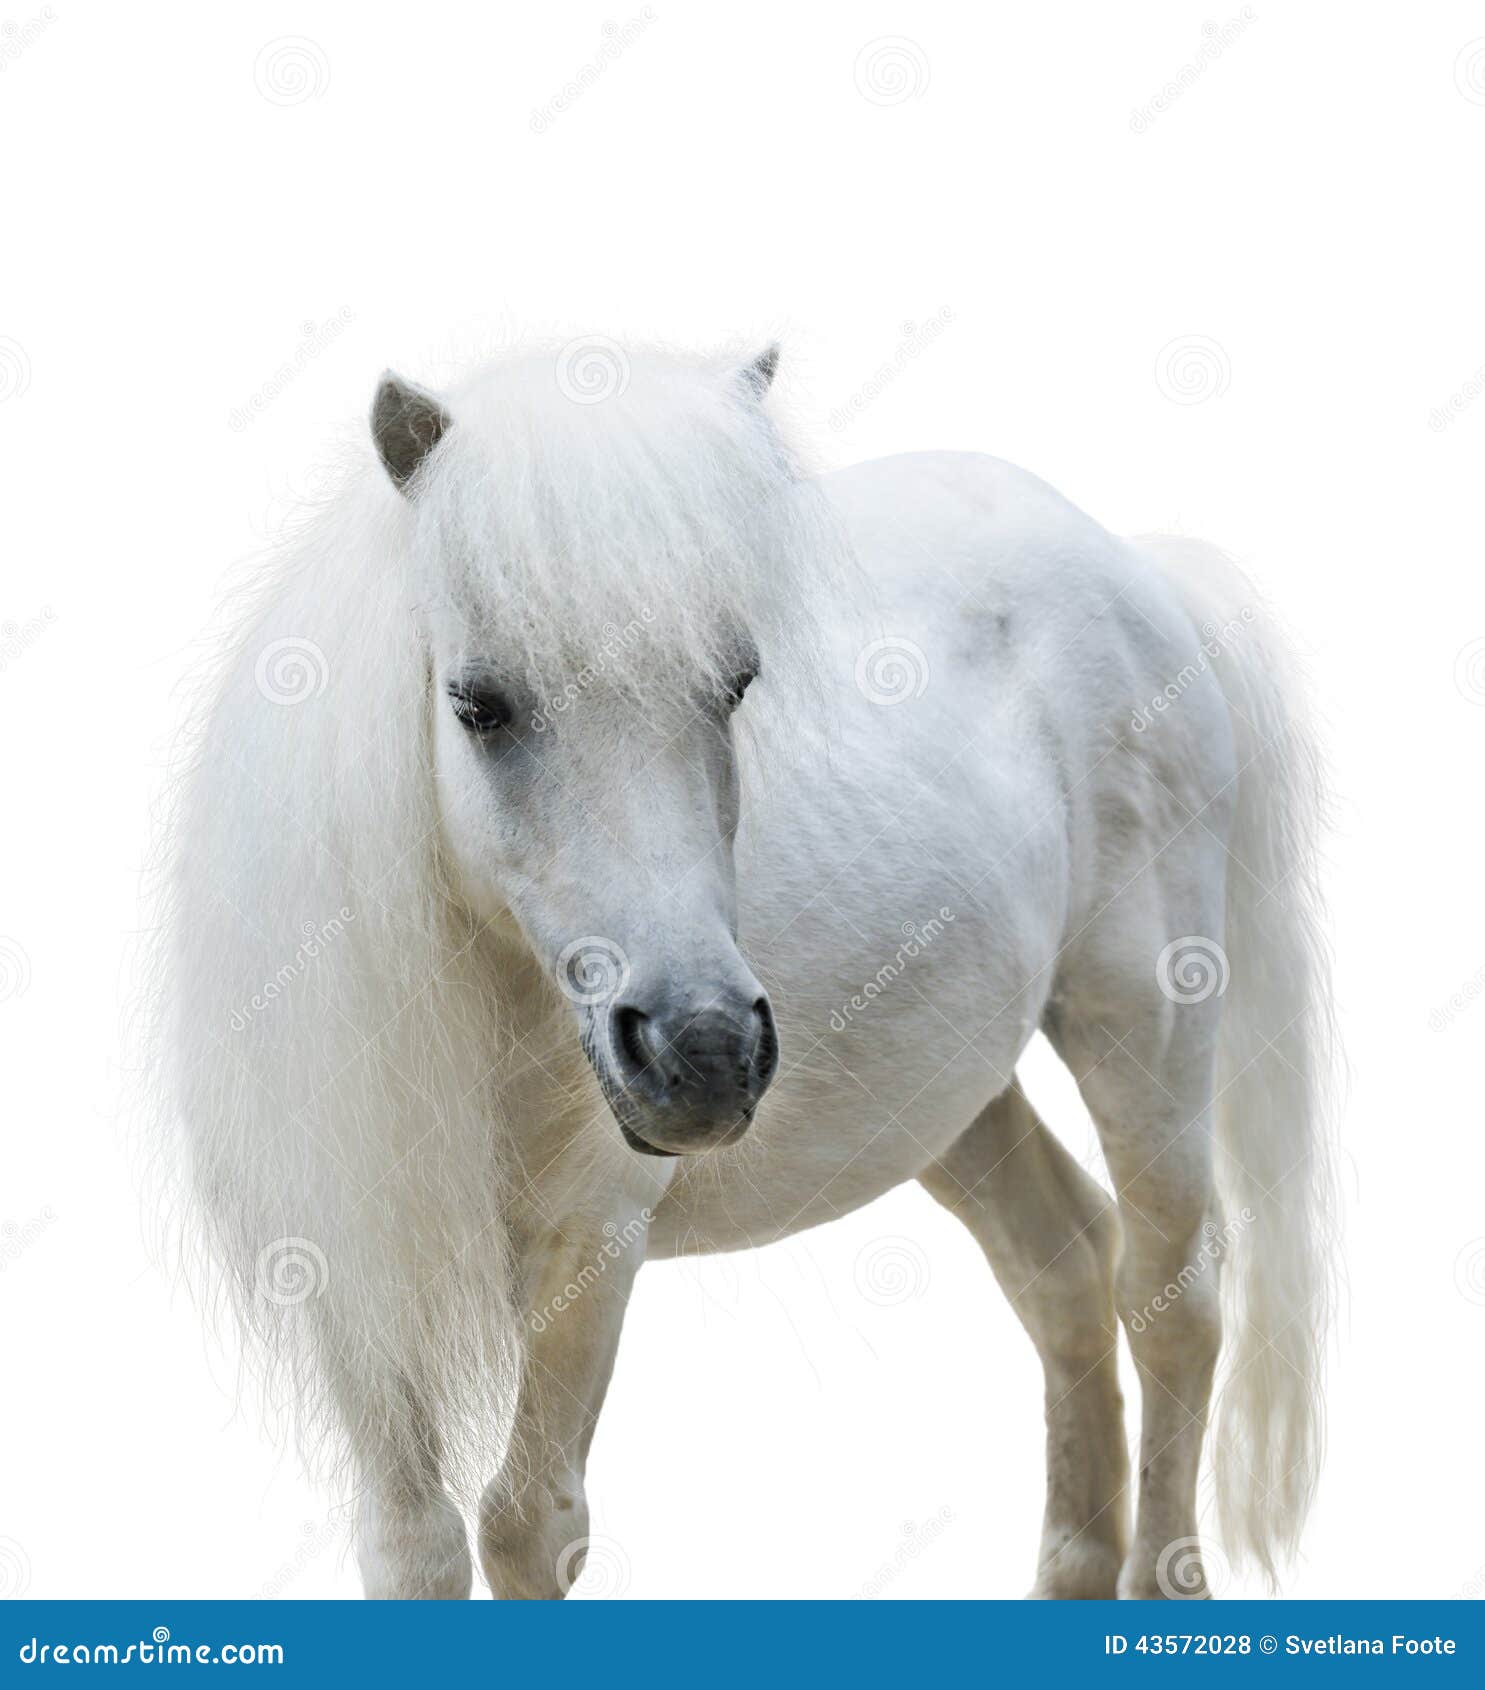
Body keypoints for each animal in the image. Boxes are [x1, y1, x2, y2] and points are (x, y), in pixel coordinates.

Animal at [157, 338, 1335, 1600]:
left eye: (732, 686)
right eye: (477, 701)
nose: (706, 1051)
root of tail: (1134, 564)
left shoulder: (594, 1245)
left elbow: (528, 1525)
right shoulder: (352, 1273)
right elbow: (412, 1544)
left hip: (1145, 1028)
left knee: (1173, 1302)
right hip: (949, 1096)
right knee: (1064, 1264)